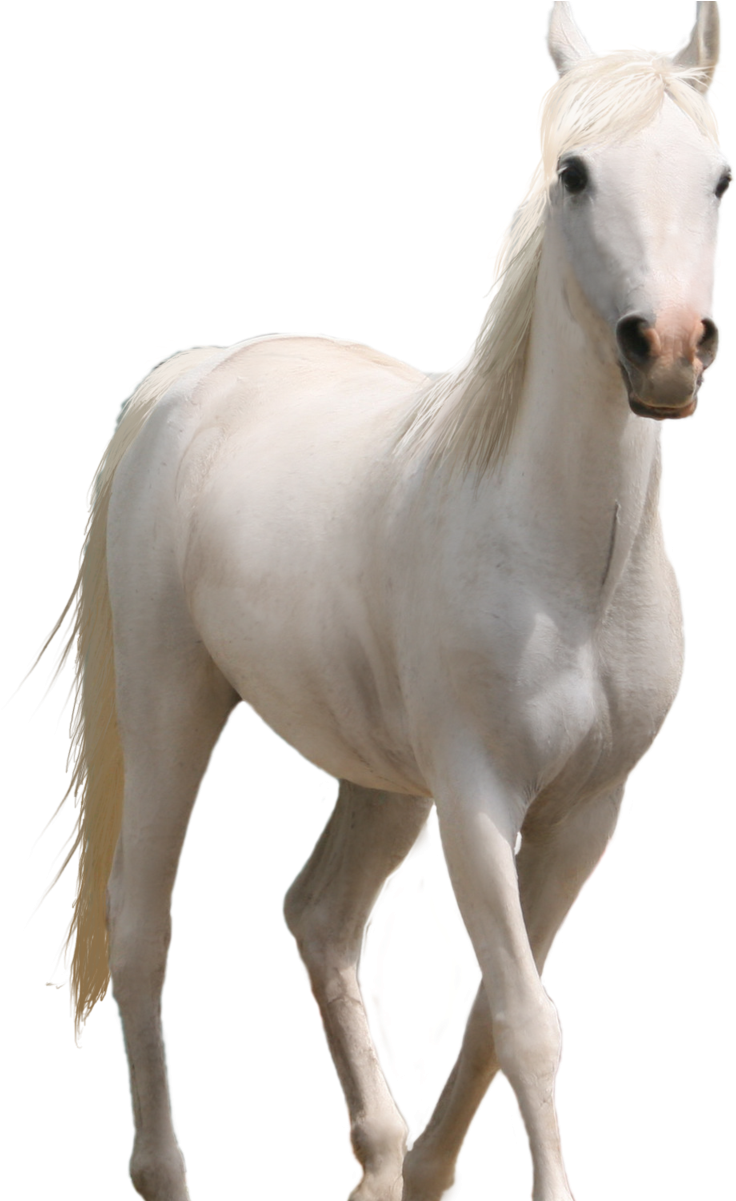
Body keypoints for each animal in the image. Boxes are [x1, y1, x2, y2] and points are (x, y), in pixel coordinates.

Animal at [7, 3, 730, 1199]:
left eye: (718, 178)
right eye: (573, 172)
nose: (666, 352)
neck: (565, 566)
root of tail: (193, 374)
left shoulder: (585, 813)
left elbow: (493, 1020)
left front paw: (429, 1173)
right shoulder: (478, 798)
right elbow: (526, 1021)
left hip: (380, 777)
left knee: (320, 915)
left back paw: (381, 1158)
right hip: (173, 706)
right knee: (142, 921)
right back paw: (165, 1171)